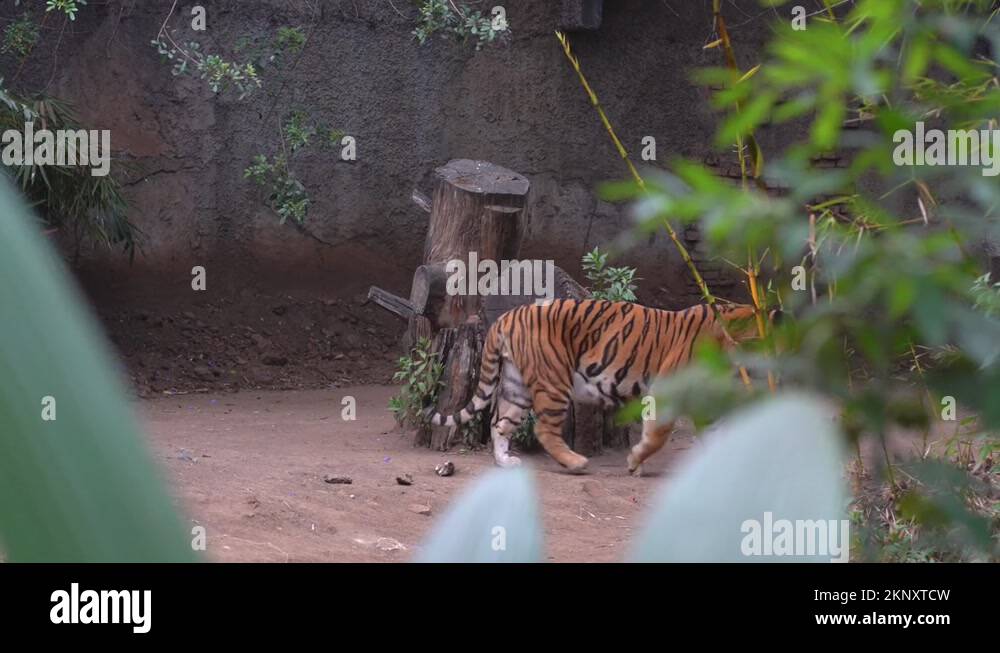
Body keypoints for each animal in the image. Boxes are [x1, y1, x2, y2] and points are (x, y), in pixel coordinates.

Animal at [427, 298, 773, 476]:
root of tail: (508, 316)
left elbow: (718, 432)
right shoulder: (666, 392)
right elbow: (657, 436)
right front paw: (634, 462)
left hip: (516, 385)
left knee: (500, 424)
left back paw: (505, 462)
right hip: (554, 380)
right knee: (544, 429)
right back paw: (576, 462)